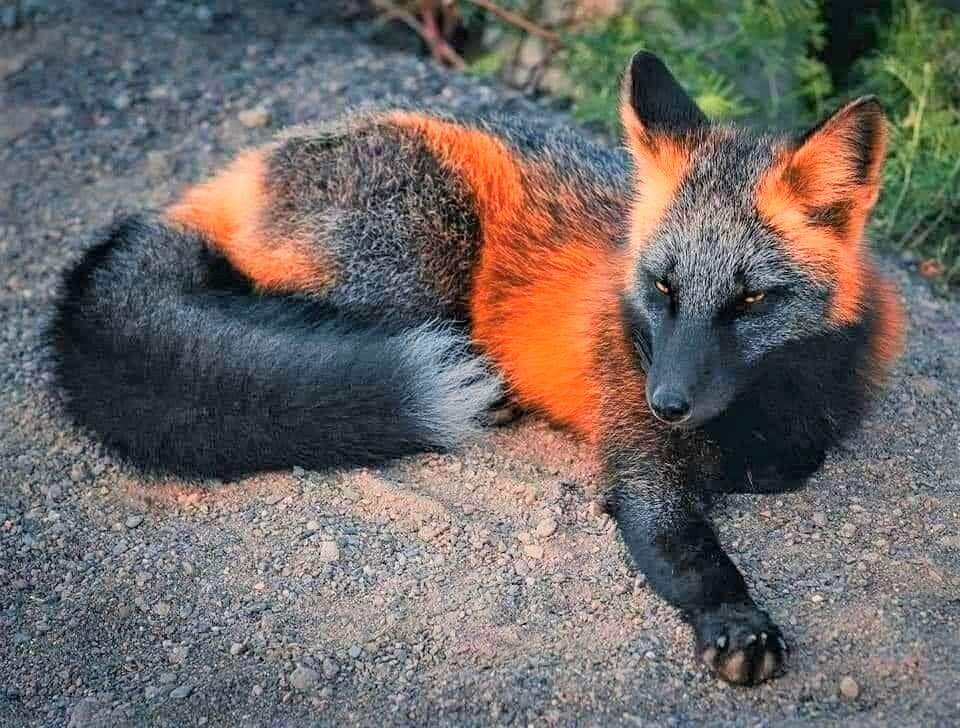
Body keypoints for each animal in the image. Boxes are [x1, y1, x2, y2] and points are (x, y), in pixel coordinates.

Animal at [50, 52, 905, 685]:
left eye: (752, 298)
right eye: (663, 287)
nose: (665, 401)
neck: (760, 405)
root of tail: (246, 166)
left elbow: (796, 457)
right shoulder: (638, 460)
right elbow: (688, 549)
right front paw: (735, 620)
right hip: (421, 259)